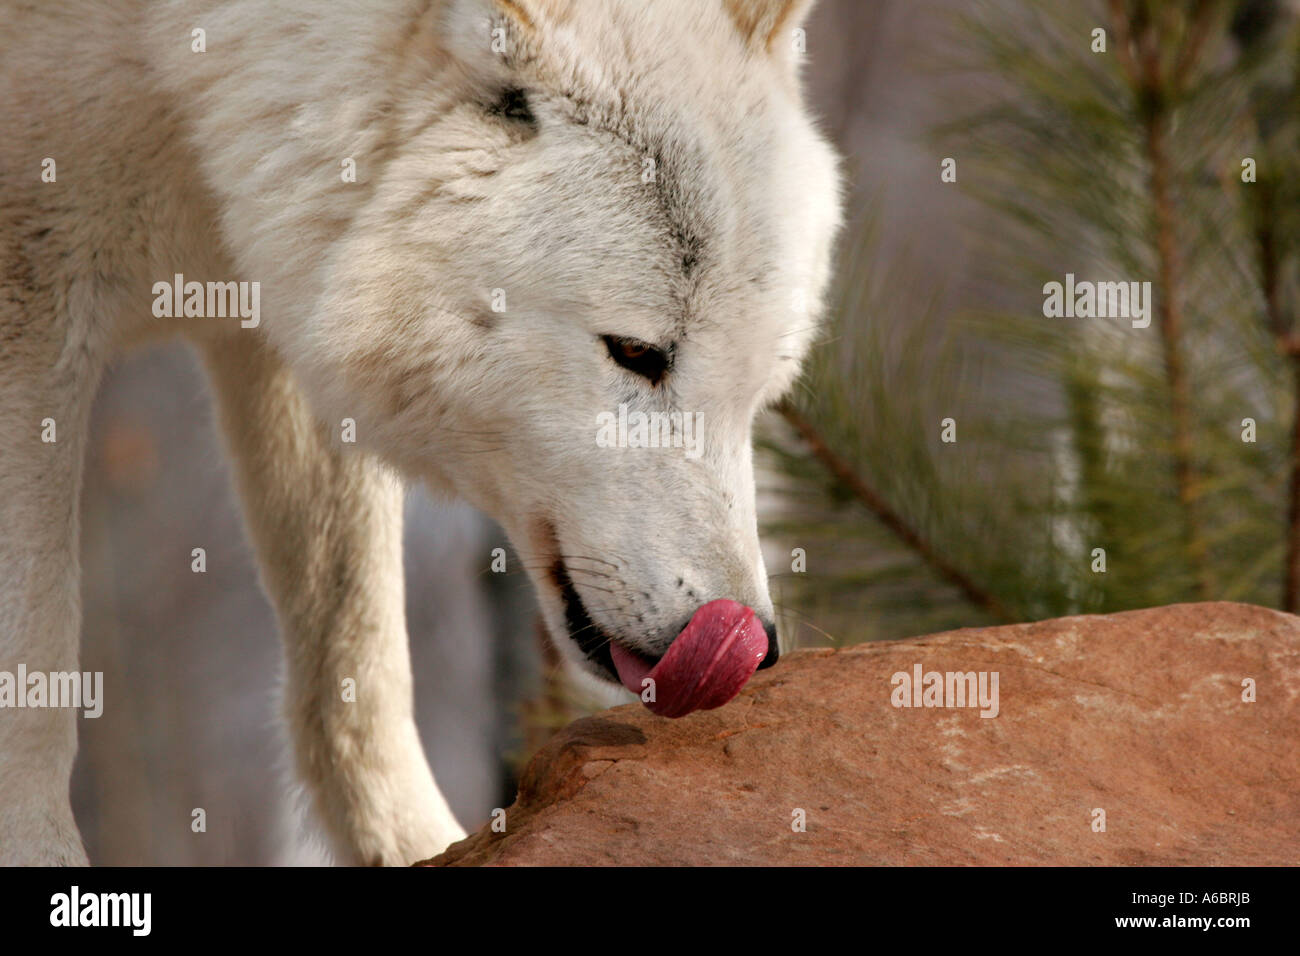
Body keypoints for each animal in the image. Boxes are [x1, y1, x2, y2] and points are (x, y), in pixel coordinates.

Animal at [0, 0, 841, 865]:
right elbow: (34, 663)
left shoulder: (286, 308)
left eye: (757, 386)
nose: (757, 643)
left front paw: (417, 844)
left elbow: (356, 667)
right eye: (638, 354)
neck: (188, 60)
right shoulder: (30, 288)